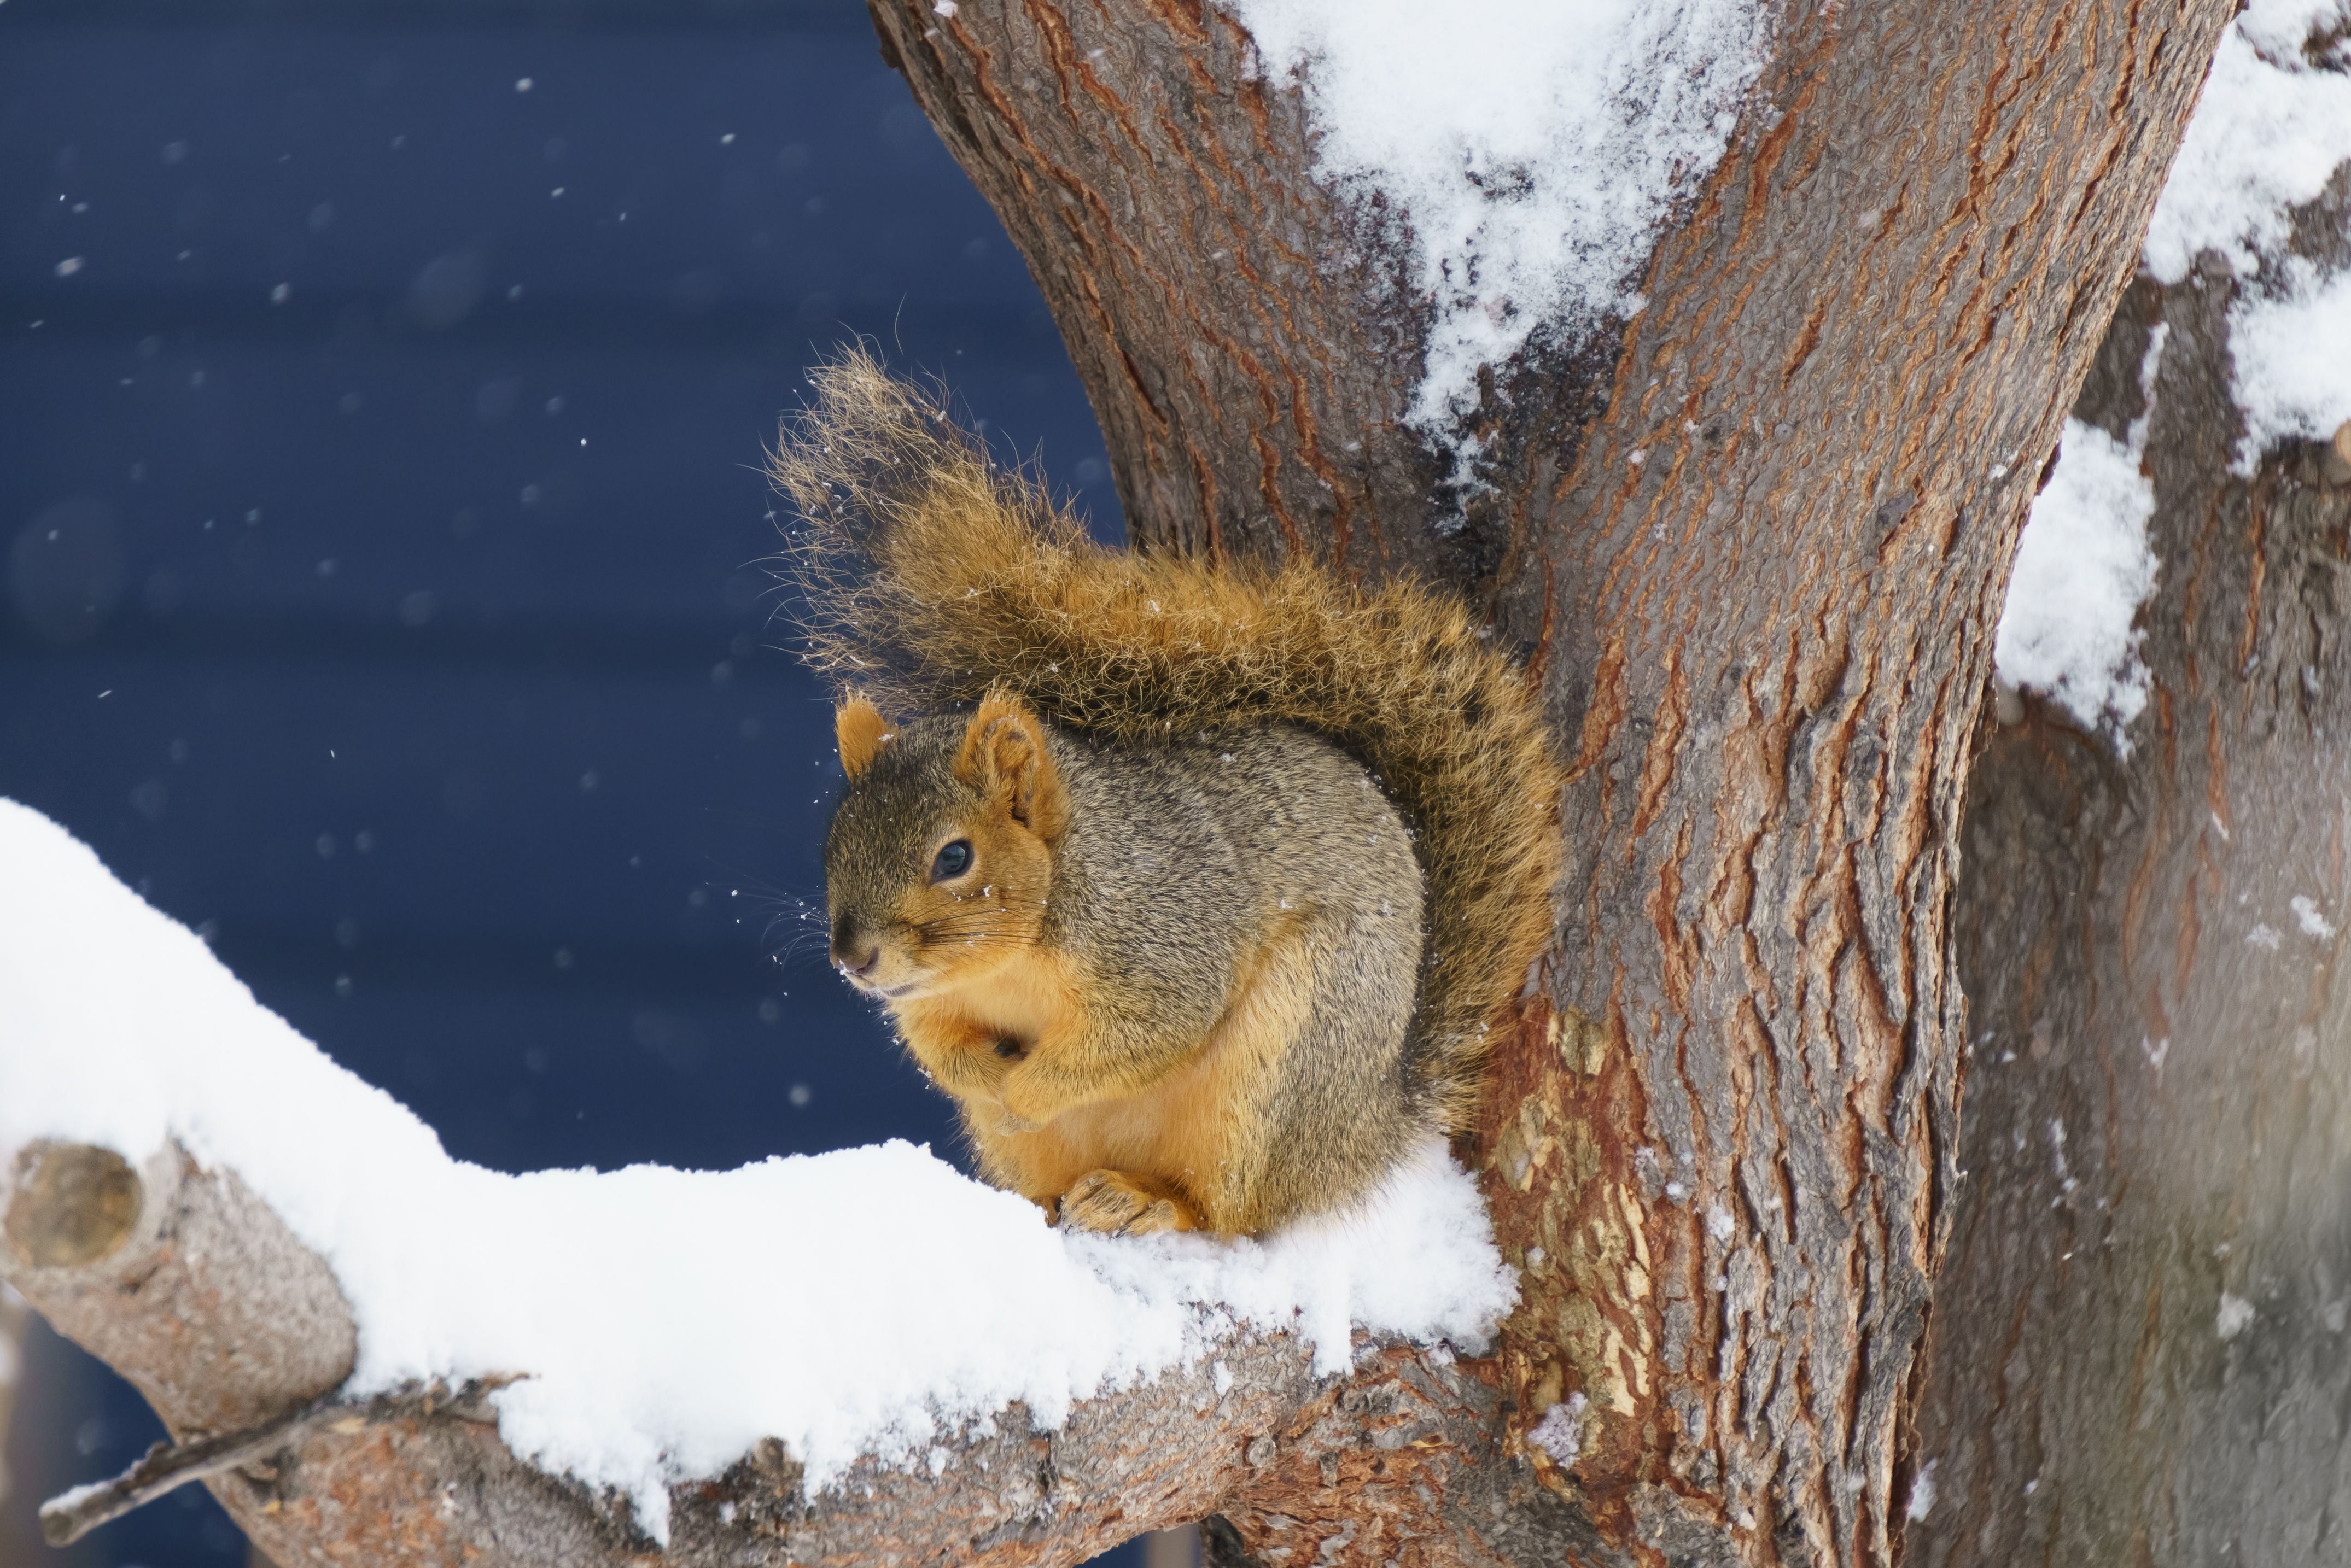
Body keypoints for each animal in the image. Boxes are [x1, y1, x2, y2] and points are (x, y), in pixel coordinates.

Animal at [773, 353, 1562, 1238]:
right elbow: (937, 1046)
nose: (855, 960)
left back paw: (1148, 1201)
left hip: (1282, 1066)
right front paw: (985, 1078)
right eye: (834, 841)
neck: (1017, 950)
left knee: (1231, 1214)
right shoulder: (932, 1004)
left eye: (954, 857)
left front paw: (1021, 1090)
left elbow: (1145, 1032)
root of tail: (1366, 1132)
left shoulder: (1165, 934)